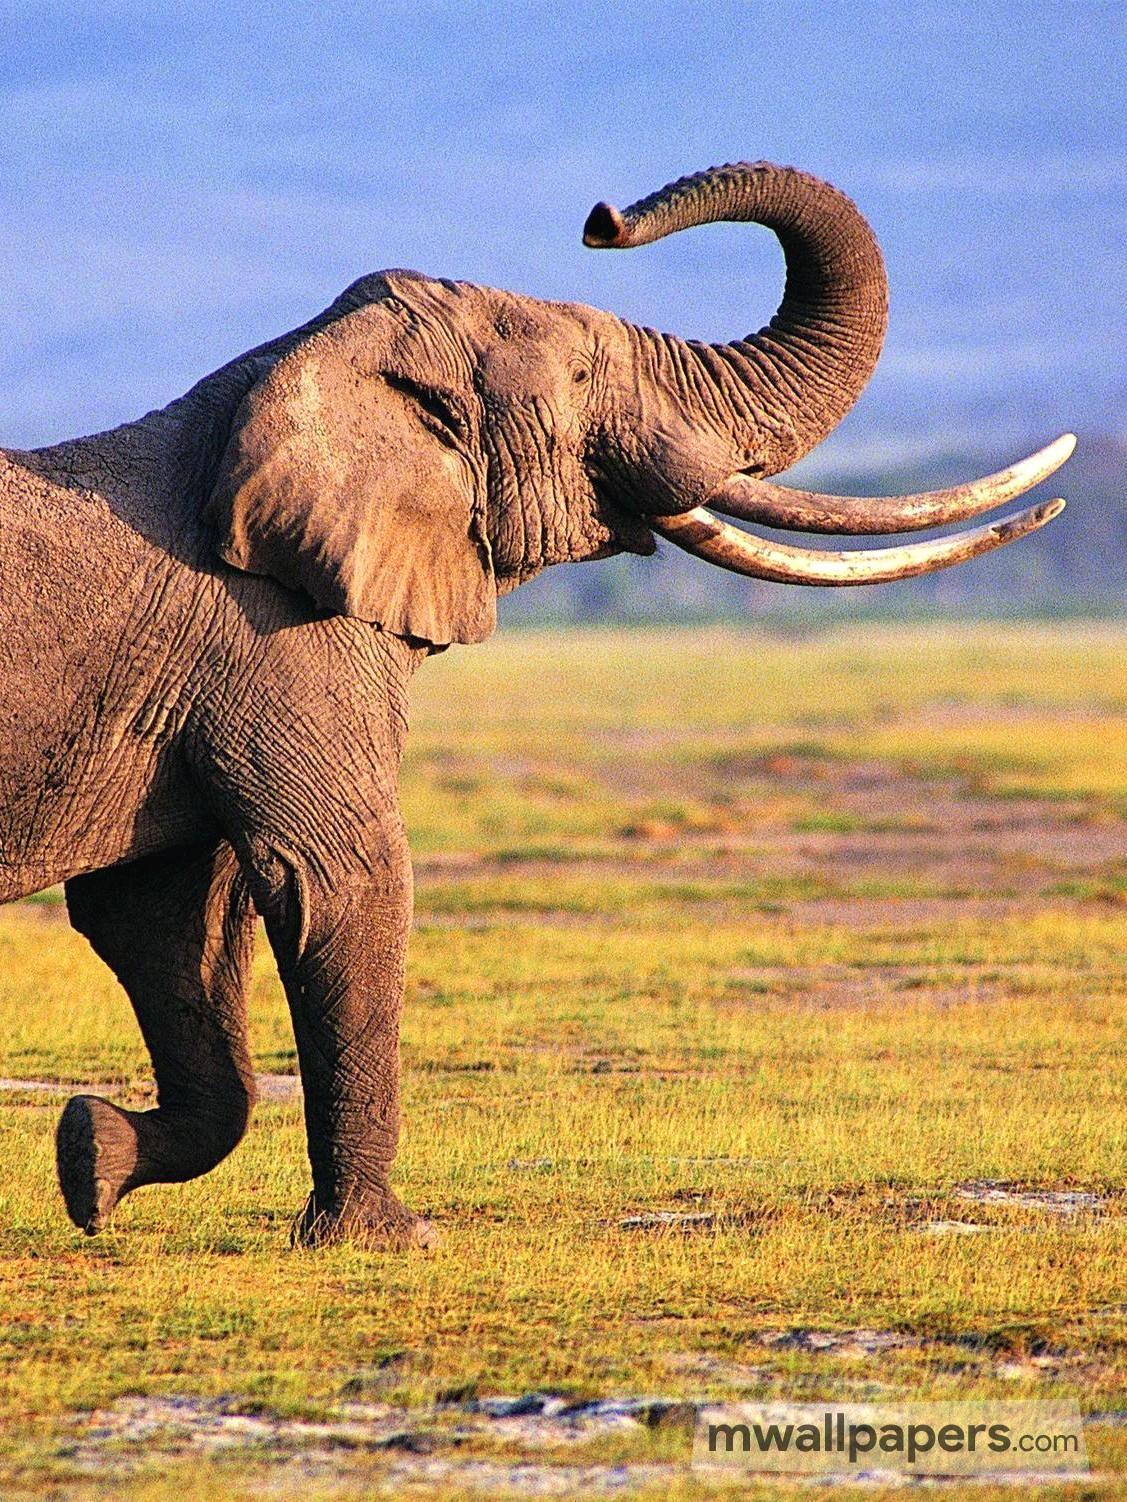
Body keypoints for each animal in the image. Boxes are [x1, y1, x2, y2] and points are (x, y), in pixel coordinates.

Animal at [0, 160, 1071, 1248]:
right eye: (586, 377)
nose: (604, 220)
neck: (293, 368)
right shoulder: (278, 639)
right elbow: (342, 880)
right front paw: (390, 1241)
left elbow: (162, 919)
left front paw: (92, 1157)